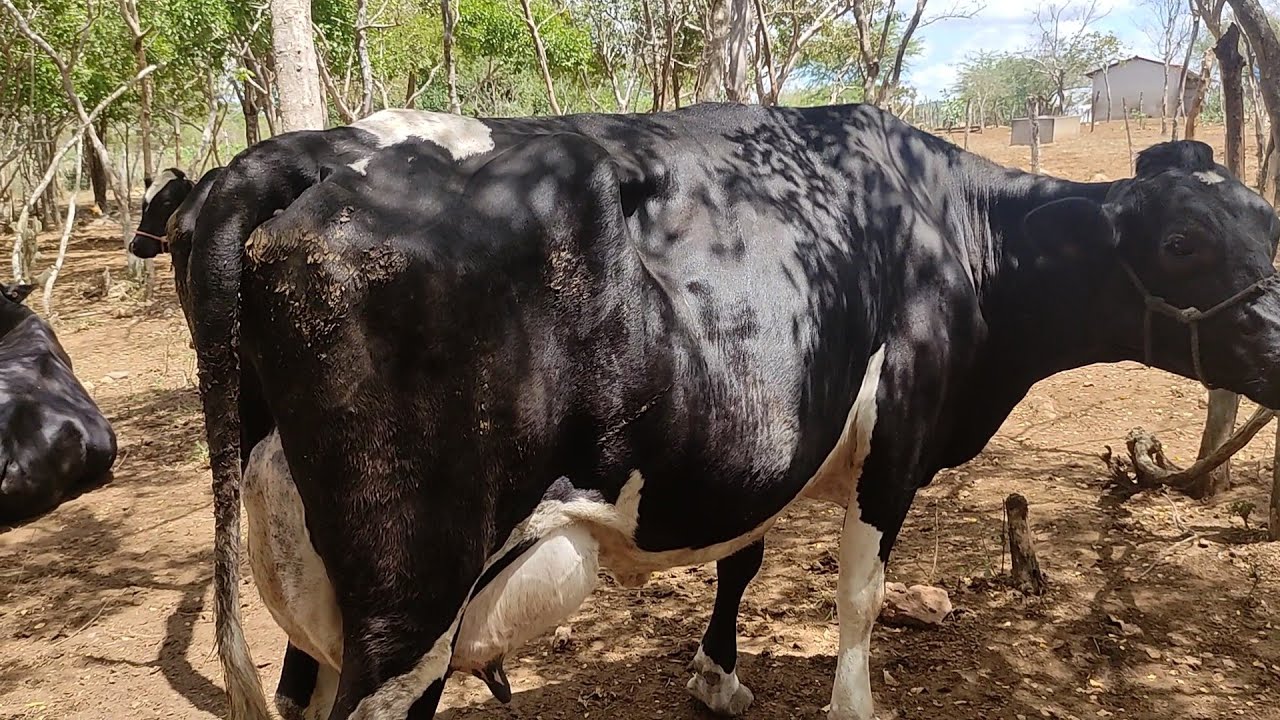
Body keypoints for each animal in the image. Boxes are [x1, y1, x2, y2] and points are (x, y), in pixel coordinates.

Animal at [184, 104, 1280, 720]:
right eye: (1182, 242)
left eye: (1267, 220)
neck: (949, 227)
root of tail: (297, 157)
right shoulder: (898, 437)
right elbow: (859, 594)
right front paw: (853, 707)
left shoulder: (753, 453)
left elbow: (741, 559)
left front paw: (715, 677)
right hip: (411, 601)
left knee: (294, 687)